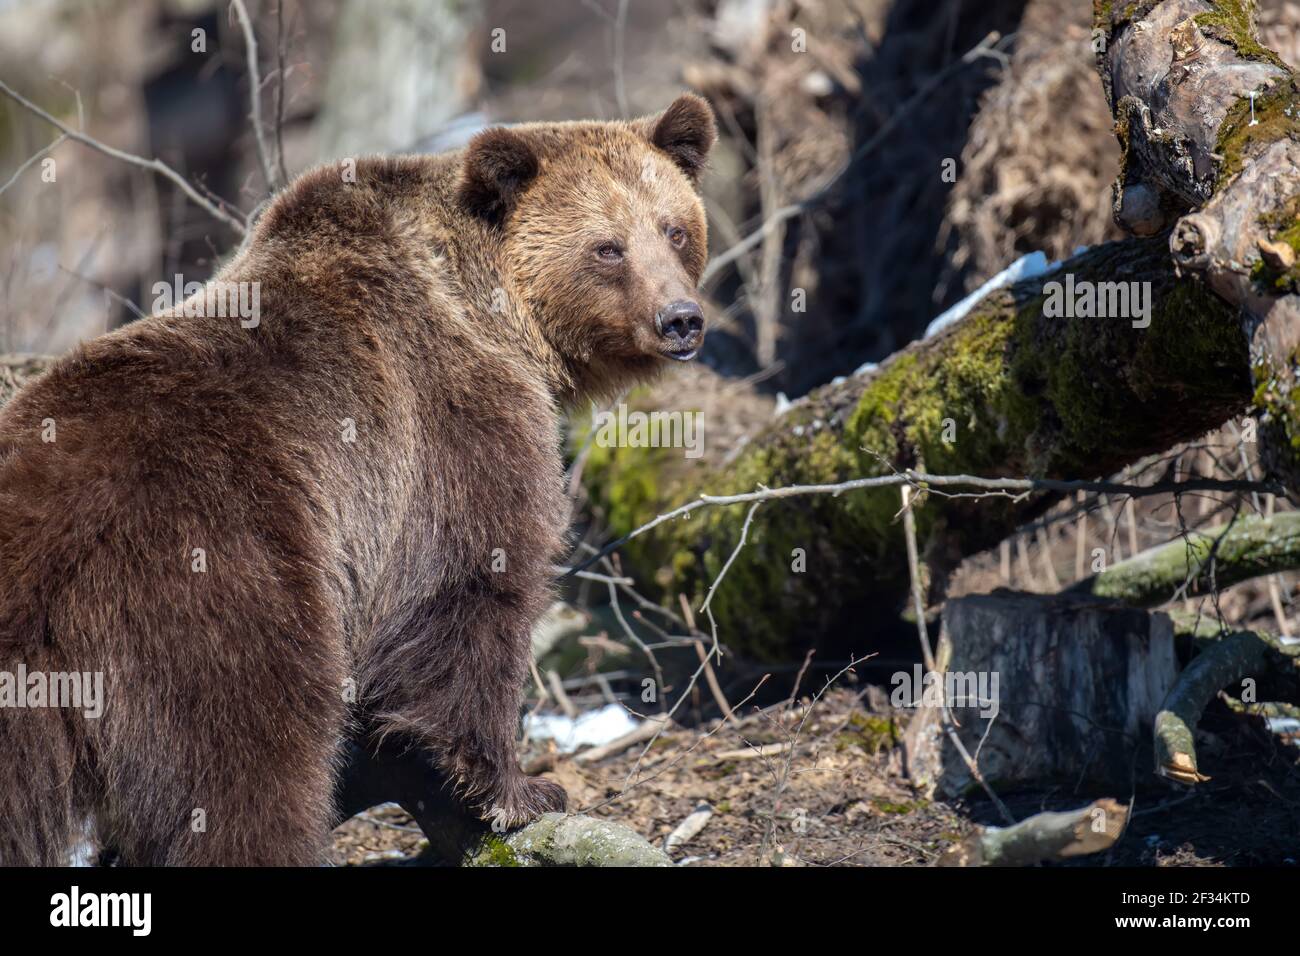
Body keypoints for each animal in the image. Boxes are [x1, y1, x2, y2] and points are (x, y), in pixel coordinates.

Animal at [0, 93, 716, 865]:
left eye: (675, 229)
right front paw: (519, 790)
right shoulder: (448, 427)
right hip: (212, 575)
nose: (680, 319)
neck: (493, 315)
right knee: (246, 757)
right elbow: (470, 594)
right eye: (607, 247)